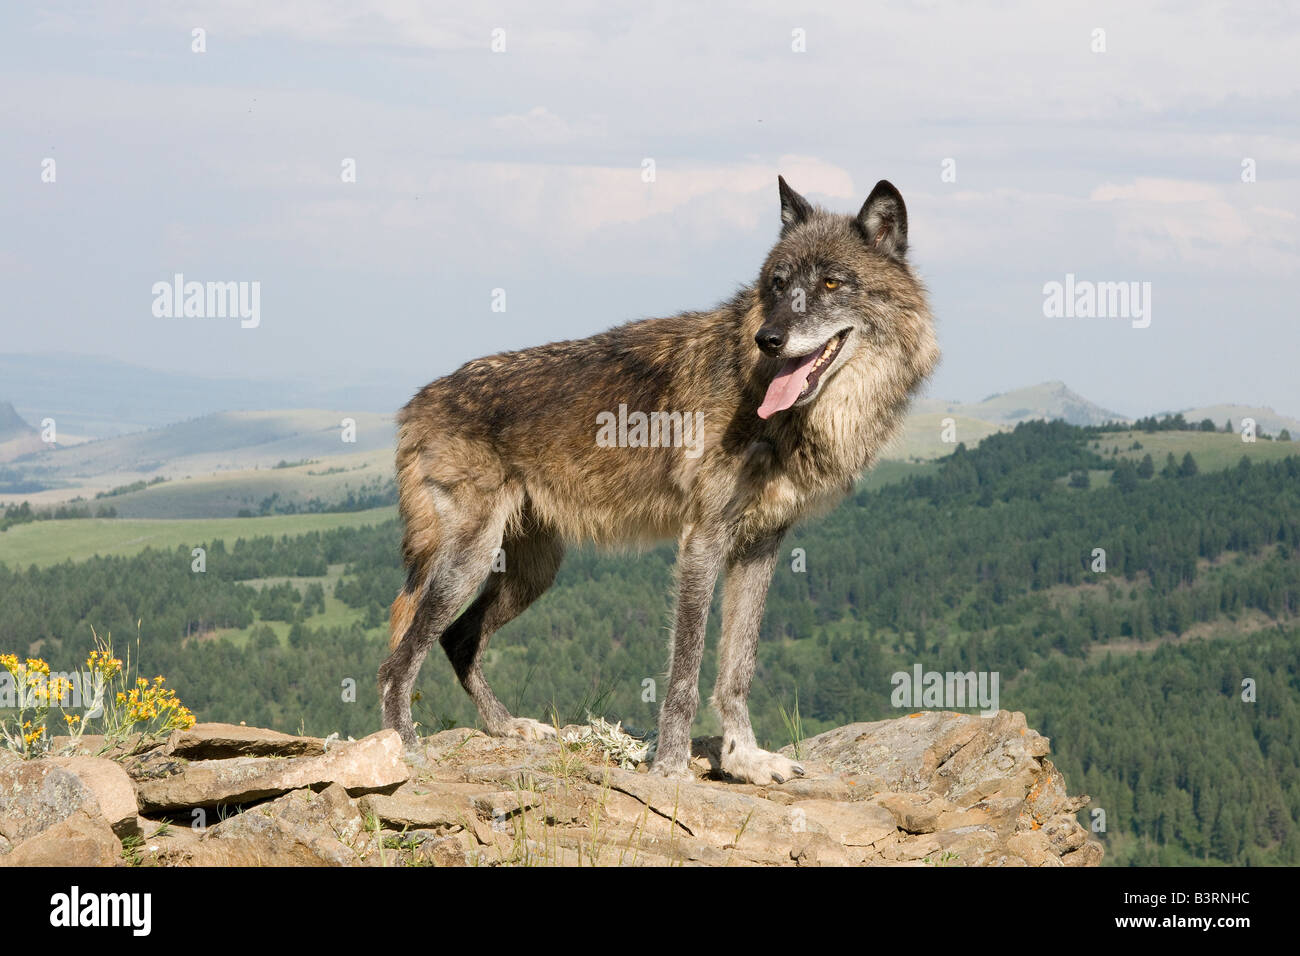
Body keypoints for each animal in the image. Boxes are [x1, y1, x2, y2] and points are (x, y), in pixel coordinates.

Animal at [378, 176, 939, 784]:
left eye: (831, 282)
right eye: (777, 283)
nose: (769, 338)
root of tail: (415, 403)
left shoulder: (761, 547)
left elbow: (737, 669)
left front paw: (746, 760)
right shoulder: (702, 541)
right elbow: (685, 669)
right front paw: (671, 766)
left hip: (533, 571)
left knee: (459, 639)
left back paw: (507, 727)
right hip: (469, 562)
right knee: (398, 659)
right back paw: (404, 748)